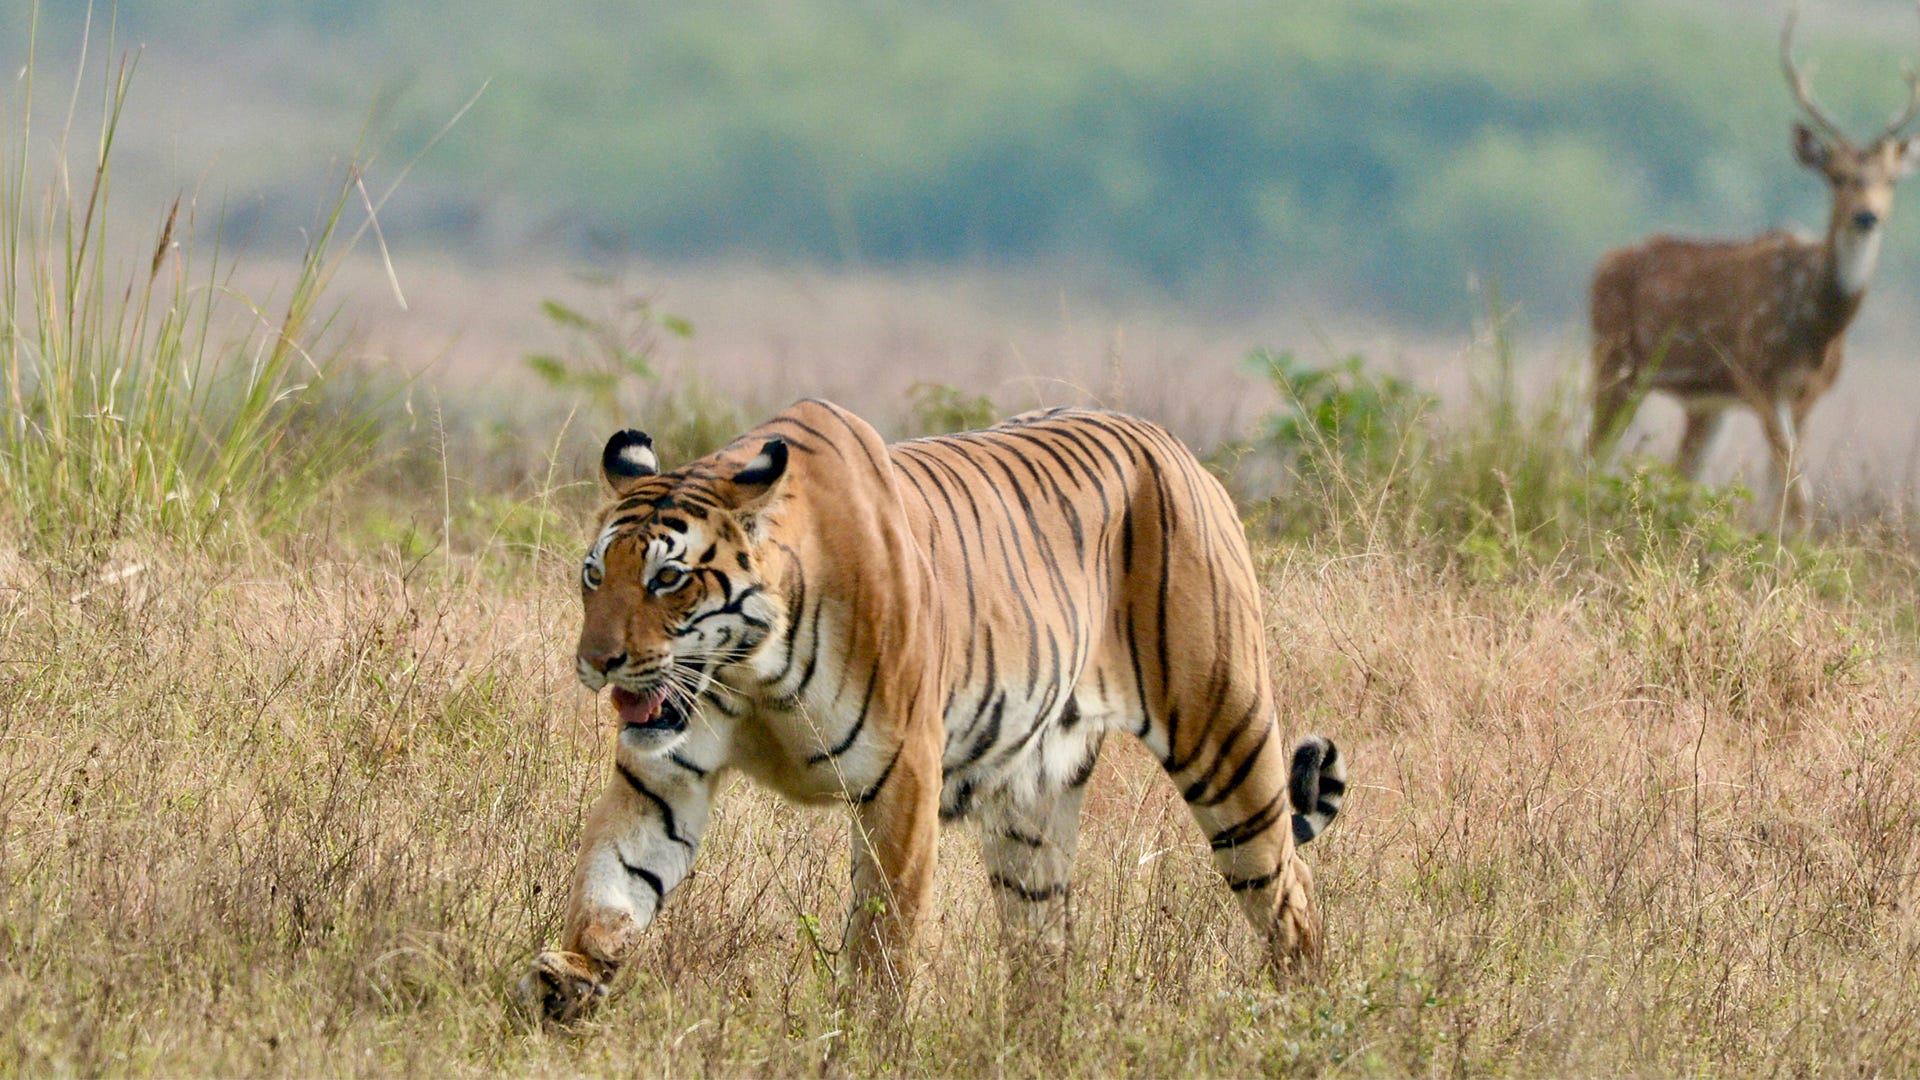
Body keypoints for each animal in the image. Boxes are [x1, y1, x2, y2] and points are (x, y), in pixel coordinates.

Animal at [519, 398, 1347, 1023]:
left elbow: (884, 941)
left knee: (1291, 896)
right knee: (1044, 950)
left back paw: (1301, 1023)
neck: (752, 669)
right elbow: (614, 882)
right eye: (594, 575)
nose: (595, 663)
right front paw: (564, 982)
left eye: (667, 578)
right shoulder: (665, 779)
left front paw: (865, 1043)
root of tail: (1174, 447)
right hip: (1033, 811)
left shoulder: (902, 778)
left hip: (1226, 739)